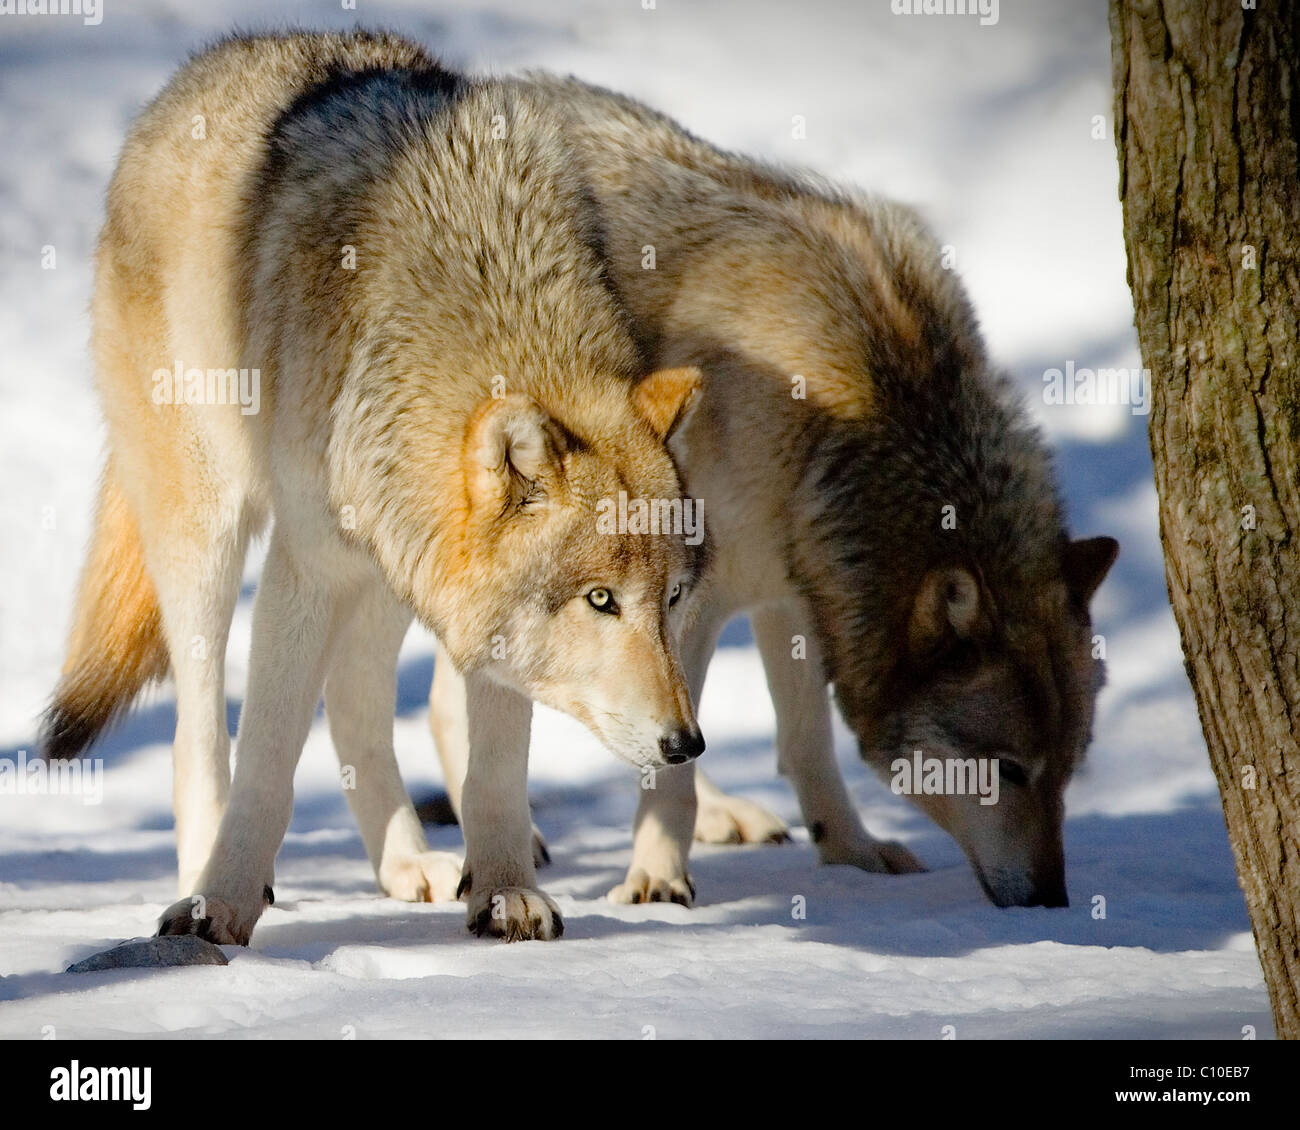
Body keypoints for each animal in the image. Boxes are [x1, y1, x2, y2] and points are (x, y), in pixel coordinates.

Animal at [41, 31, 708, 944]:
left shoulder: (469, 610)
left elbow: (495, 771)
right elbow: (267, 759)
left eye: (671, 599)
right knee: (199, 728)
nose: (687, 744)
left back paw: (407, 865)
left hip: (392, 571)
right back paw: (202, 869)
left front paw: (506, 893)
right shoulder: (307, 568)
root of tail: (199, 70)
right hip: (210, 537)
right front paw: (221, 907)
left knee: (354, 701)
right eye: (601, 600)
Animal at [428, 75, 1118, 909]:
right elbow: (679, 763)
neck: (853, 416)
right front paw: (658, 881)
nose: (1053, 900)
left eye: (1071, 771)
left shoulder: (791, 593)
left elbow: (802, 743)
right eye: (1011, 771)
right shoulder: (690, 599)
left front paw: (852, 855)